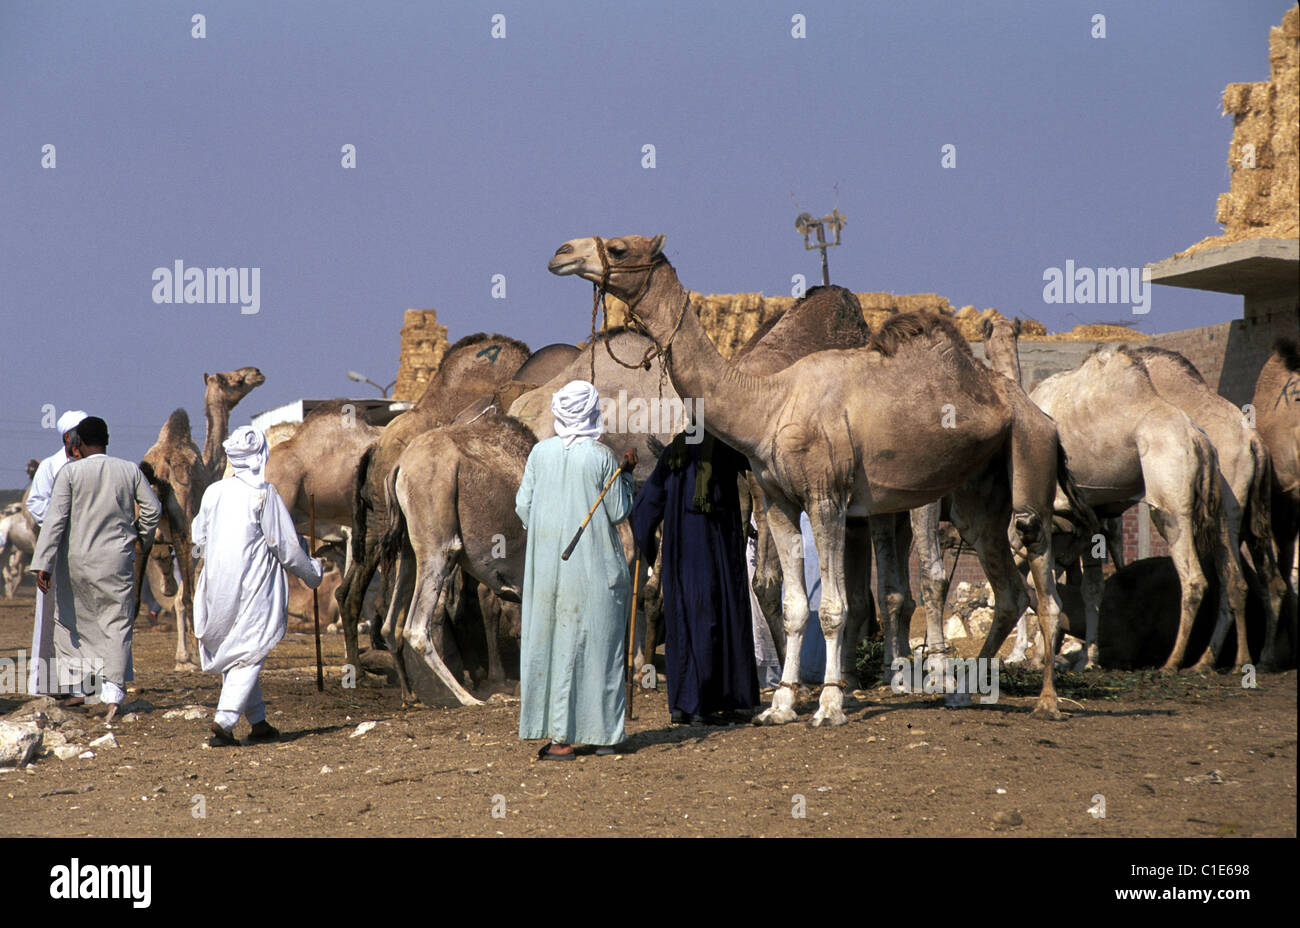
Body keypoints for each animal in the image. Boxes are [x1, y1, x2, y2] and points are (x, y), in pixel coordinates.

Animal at [550, 234, 1087, 722]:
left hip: (1027, 461)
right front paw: (782, 704)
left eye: (618, 248)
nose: (561, 253)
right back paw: (964, 692)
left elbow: (833, 607)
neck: (768, 403)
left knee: (1037, 570)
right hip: (978, 496)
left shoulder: (826, 497)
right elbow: (792, 605)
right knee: (1009, 590)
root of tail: (1031, 405)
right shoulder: (778, 500)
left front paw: (829, 702)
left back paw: (1044, 701)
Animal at [1029, 346, 1248, 671]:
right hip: (1220, 506)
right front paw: (1084, 659)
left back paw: (1172, 662)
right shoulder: (1089, 521)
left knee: (1194, 579)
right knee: (1234, 580)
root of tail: (1200, 441)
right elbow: (1088, 588)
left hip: (1170, 508)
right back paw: (1232, 662)